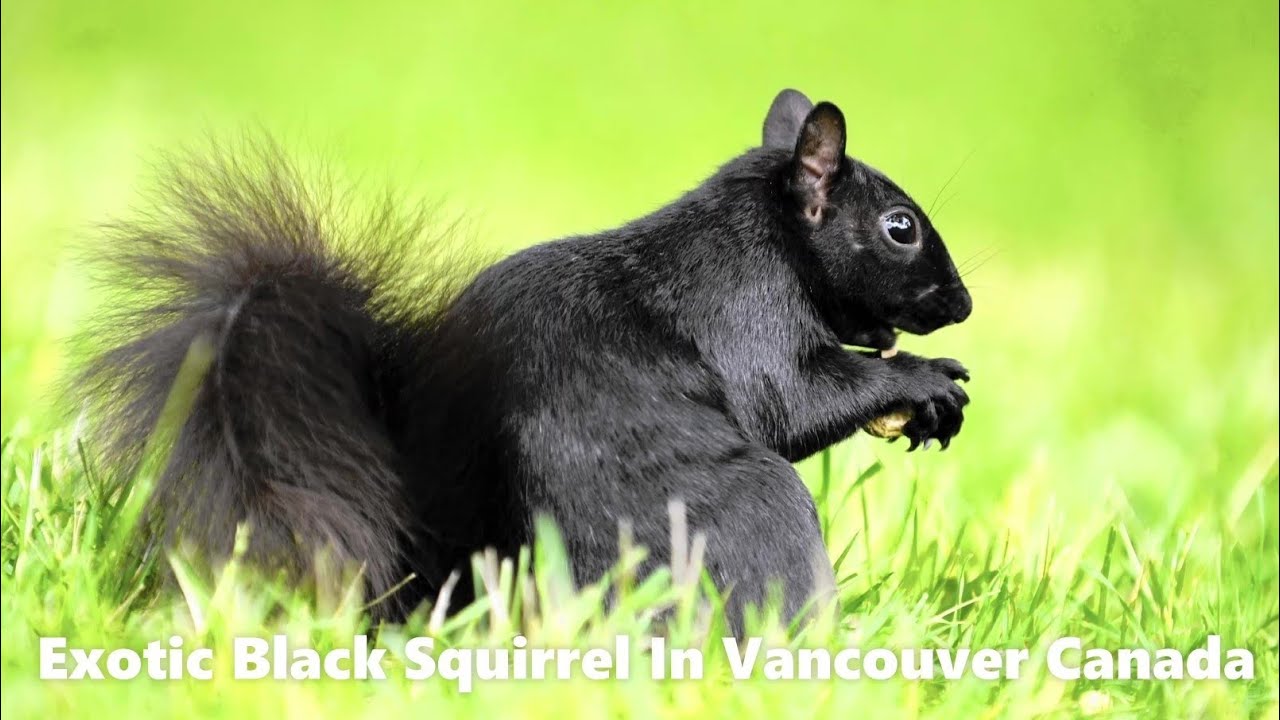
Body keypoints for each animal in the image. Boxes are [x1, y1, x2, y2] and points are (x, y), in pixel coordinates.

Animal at [72, 89, 972, 632]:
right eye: (900, 227)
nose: (961, 303)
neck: (769, 232)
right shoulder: (743, 311)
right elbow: (792, 401)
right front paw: (926, 382)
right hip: (750, 517)